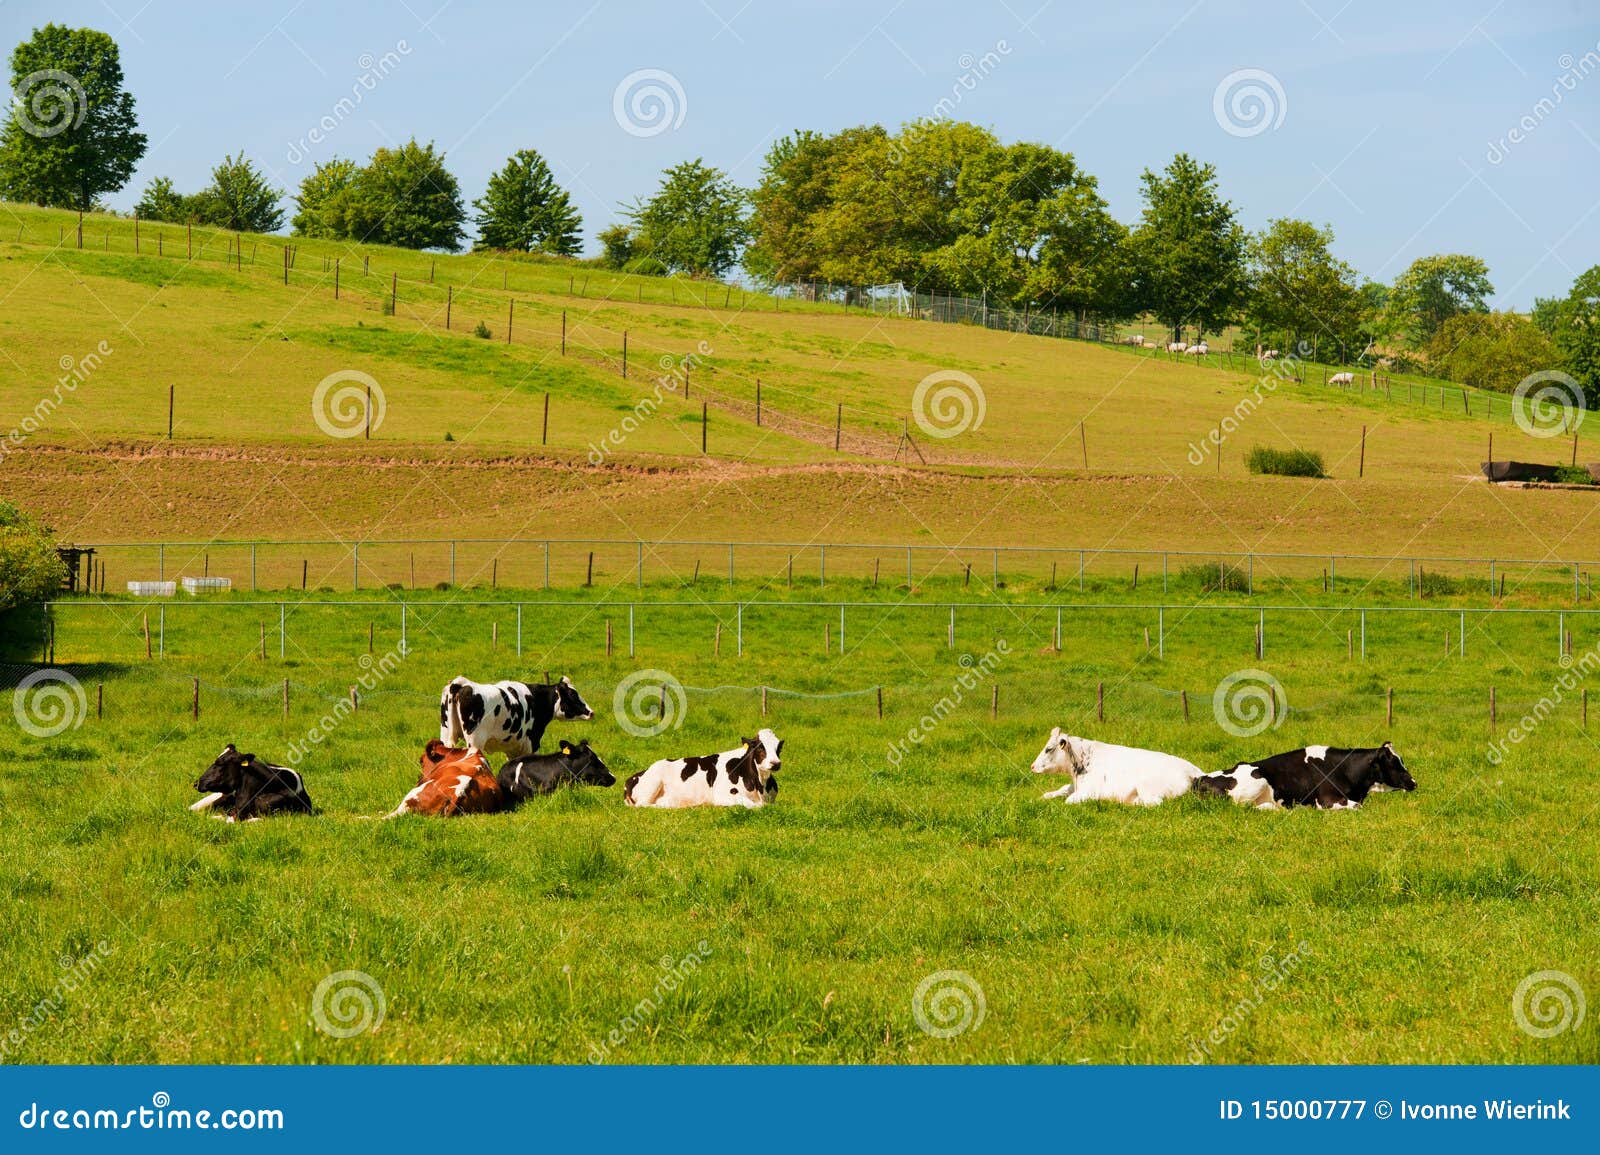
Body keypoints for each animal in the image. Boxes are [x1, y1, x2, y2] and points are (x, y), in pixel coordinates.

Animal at [439, 675, 594, 758]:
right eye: (573, 695)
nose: (591, 712)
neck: (536, 699)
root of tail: (462, 683)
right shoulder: (532, 743)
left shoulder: (512, 748)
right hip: (475, 742)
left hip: (445, 736)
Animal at [624, 729, 782, 809]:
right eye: (759, 747)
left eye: (779, 747)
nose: (776, 763)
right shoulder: (723, 794)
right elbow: (754, 806)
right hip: (653, 782)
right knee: (643, 805)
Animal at [1029, 727, 1201, 805]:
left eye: (1048, 748)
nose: (1032, 766)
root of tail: (1195, 771)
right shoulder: (1074, 786)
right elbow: (1054, 792)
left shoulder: (1089, 791)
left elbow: (1068, 800)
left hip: (1146, 786)